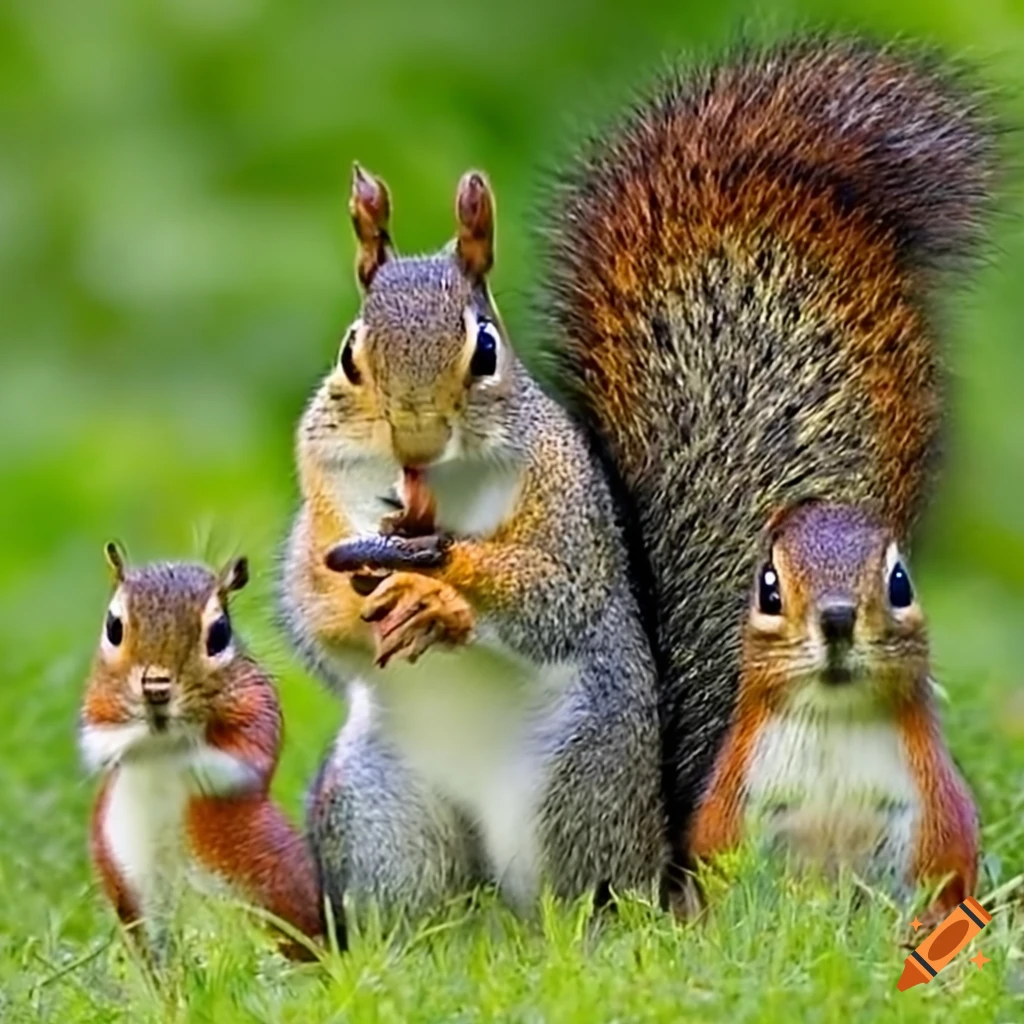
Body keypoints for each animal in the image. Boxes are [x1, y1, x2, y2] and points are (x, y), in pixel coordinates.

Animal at [80, 543, 322, 963]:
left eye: (220, 633)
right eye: (113, 627)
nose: (155, 686)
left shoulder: (258, 707)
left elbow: (249, 756)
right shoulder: (96, 707)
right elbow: (98, 743)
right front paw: (134, 737)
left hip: (268, 877)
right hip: (132, 885)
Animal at [281, 165, 665, 927]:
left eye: (486, 350)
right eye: (348, 354)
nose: (416, 440)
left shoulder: (569, 510)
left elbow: (553, 598)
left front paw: (441, 590)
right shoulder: (321, 519)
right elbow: (312, 613)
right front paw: (354, 597)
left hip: (581, 791)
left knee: (578, 899)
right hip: (378, 808)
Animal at [689, 499, 979, 921]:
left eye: (900, 583)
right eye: (769, 590)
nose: (838, 617)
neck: (833, 716)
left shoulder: (941, 821)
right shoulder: (729, 812)